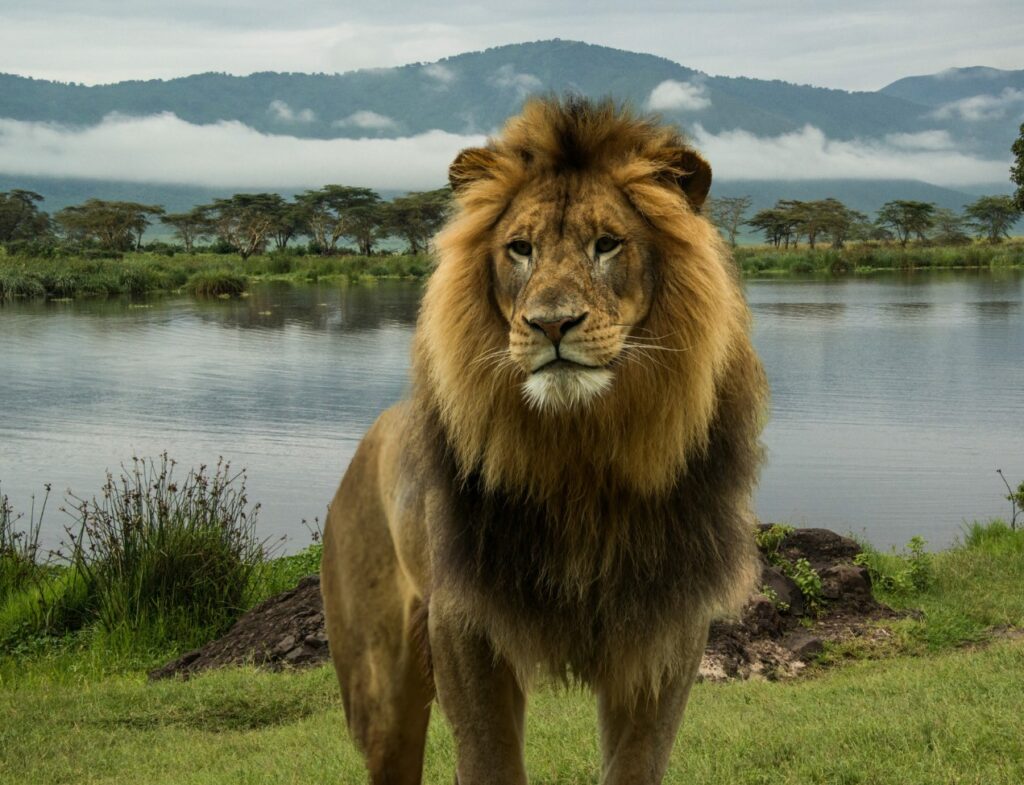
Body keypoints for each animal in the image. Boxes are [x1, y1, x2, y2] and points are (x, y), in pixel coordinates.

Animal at [321, 95, 769, 785]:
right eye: (520, 249)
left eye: (607, 244)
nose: (551, 324)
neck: (578, 454)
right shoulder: (465, 621)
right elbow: (489, 761)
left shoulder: (665, 625)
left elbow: (636, 763)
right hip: (380, 686)